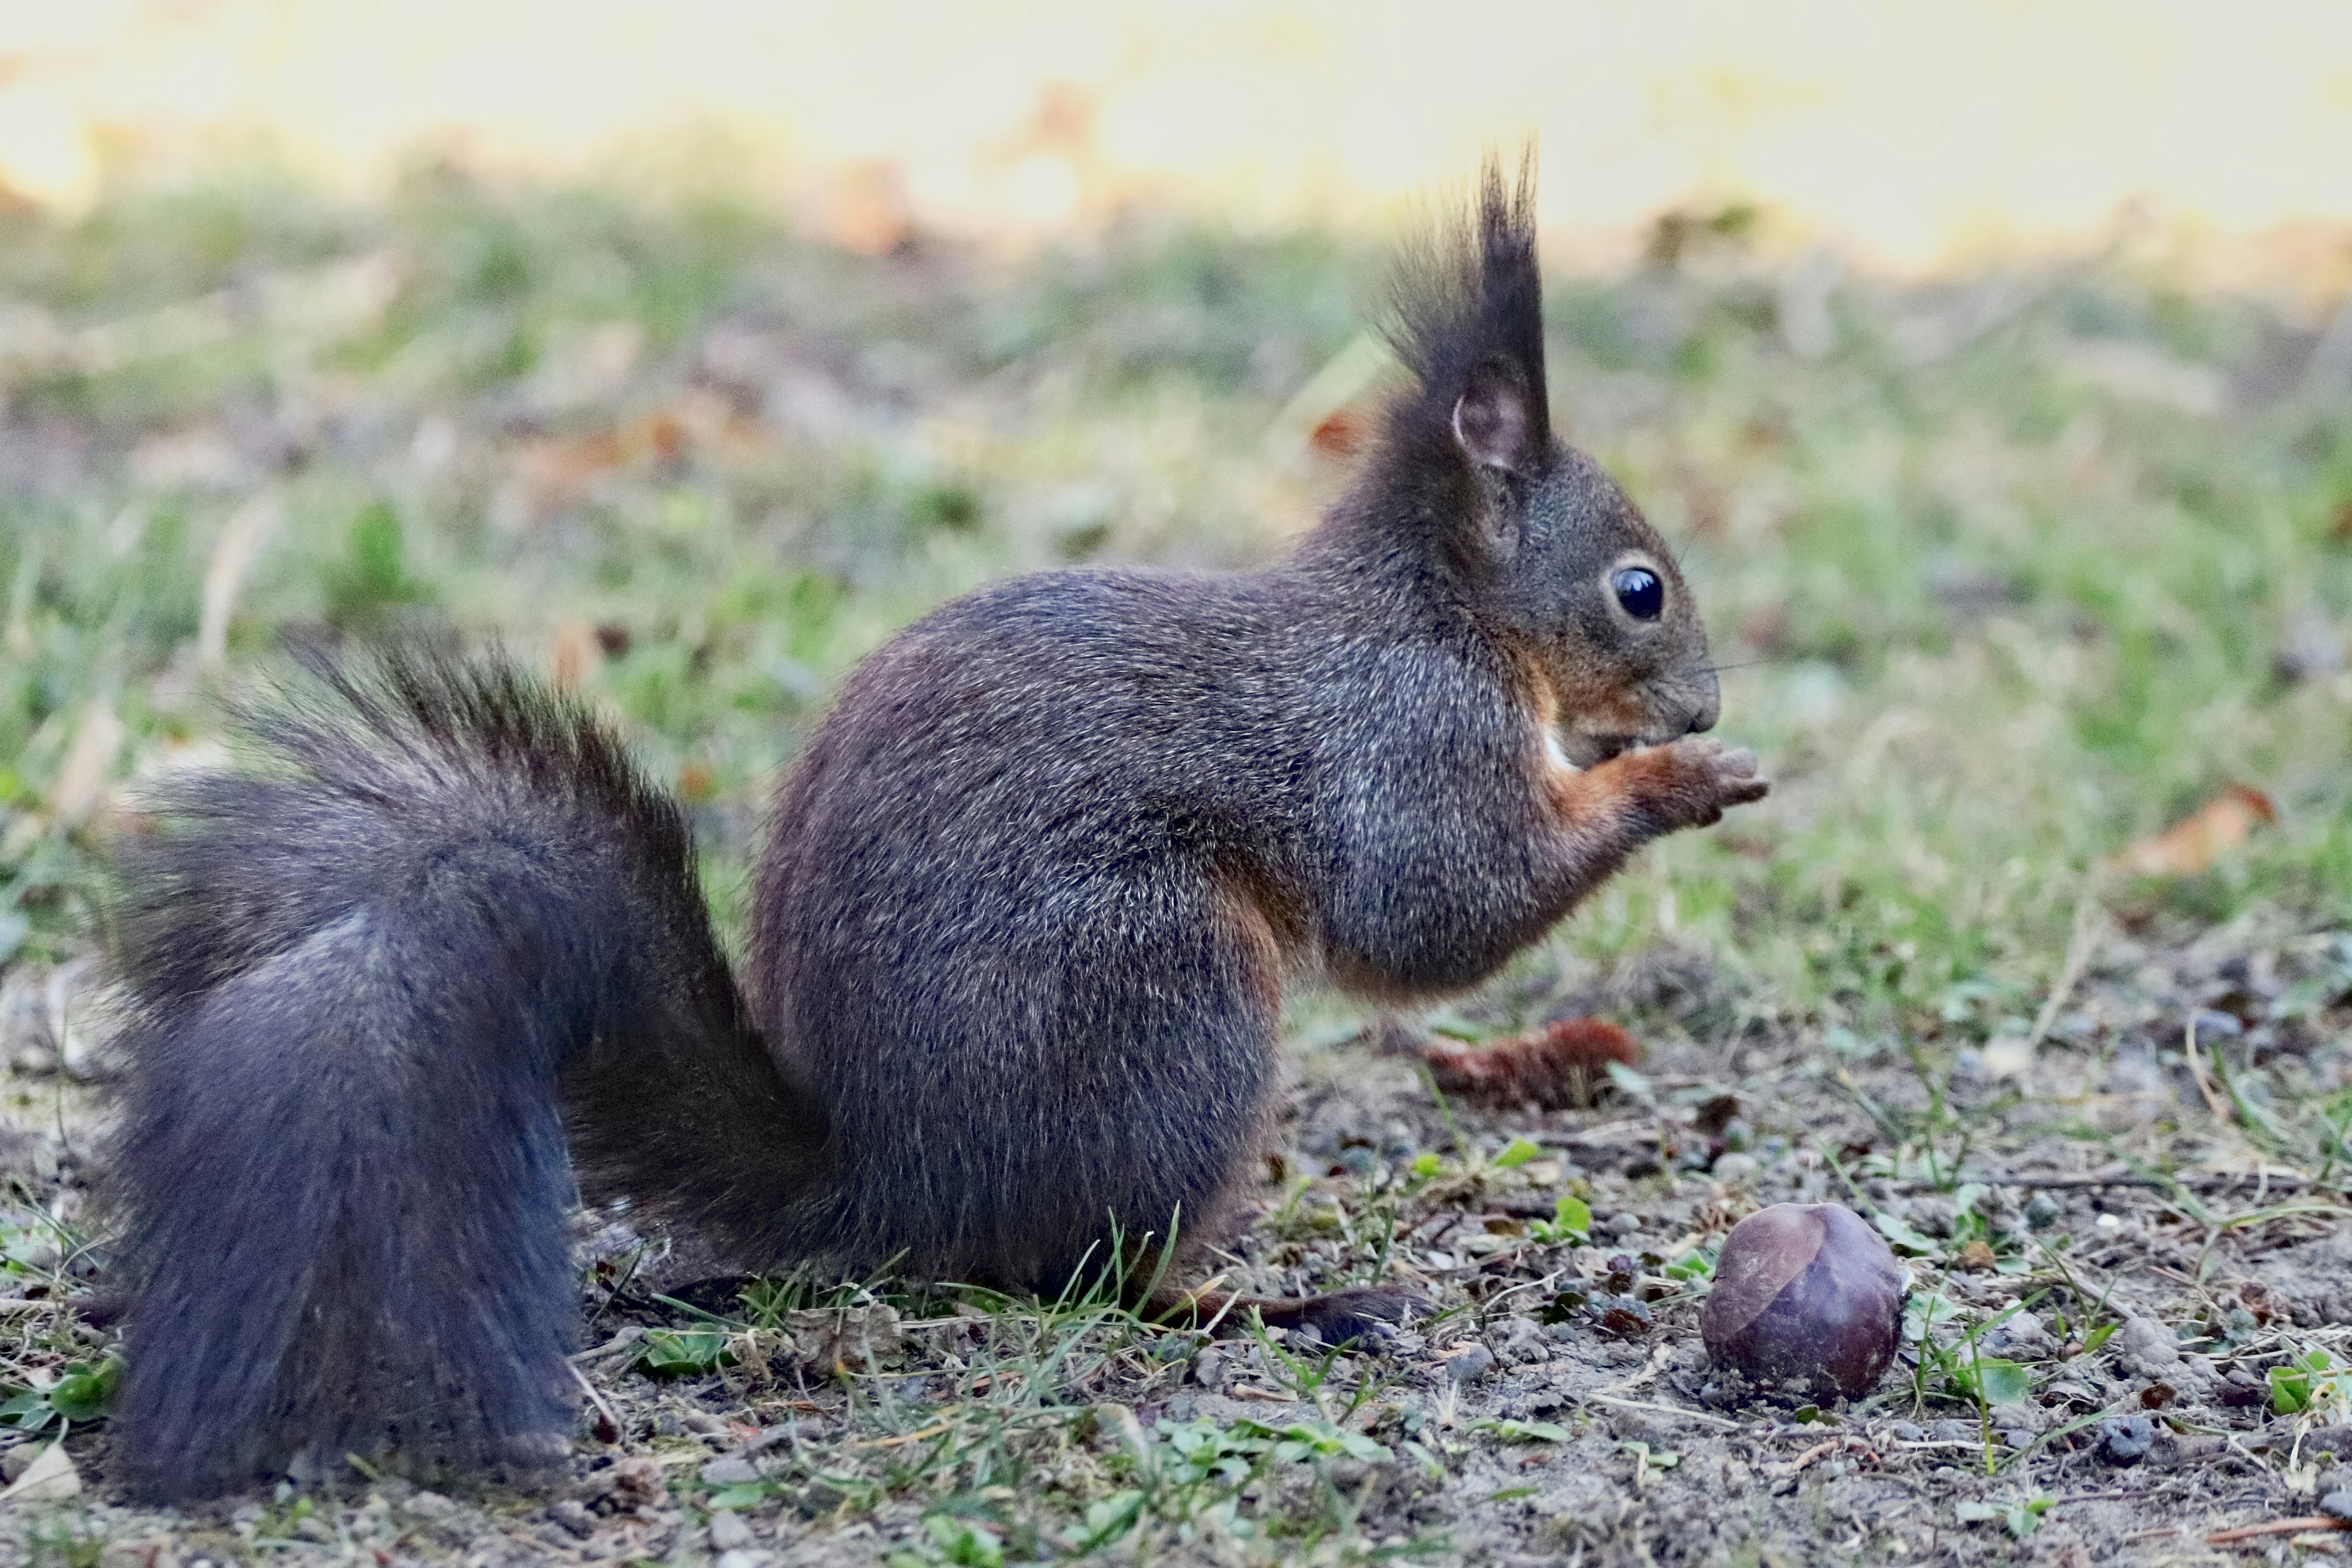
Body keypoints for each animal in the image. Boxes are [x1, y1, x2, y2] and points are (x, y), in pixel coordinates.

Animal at [102, 152, 1766, 1497]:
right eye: (1639, 587)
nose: (1696, 704)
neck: (1437, 613)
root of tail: (896, 1175)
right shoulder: (1400, 743)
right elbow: (1435, 914)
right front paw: (1675, 788)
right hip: (1167, 998)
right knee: (1080, 1274)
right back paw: (1261, 1303)